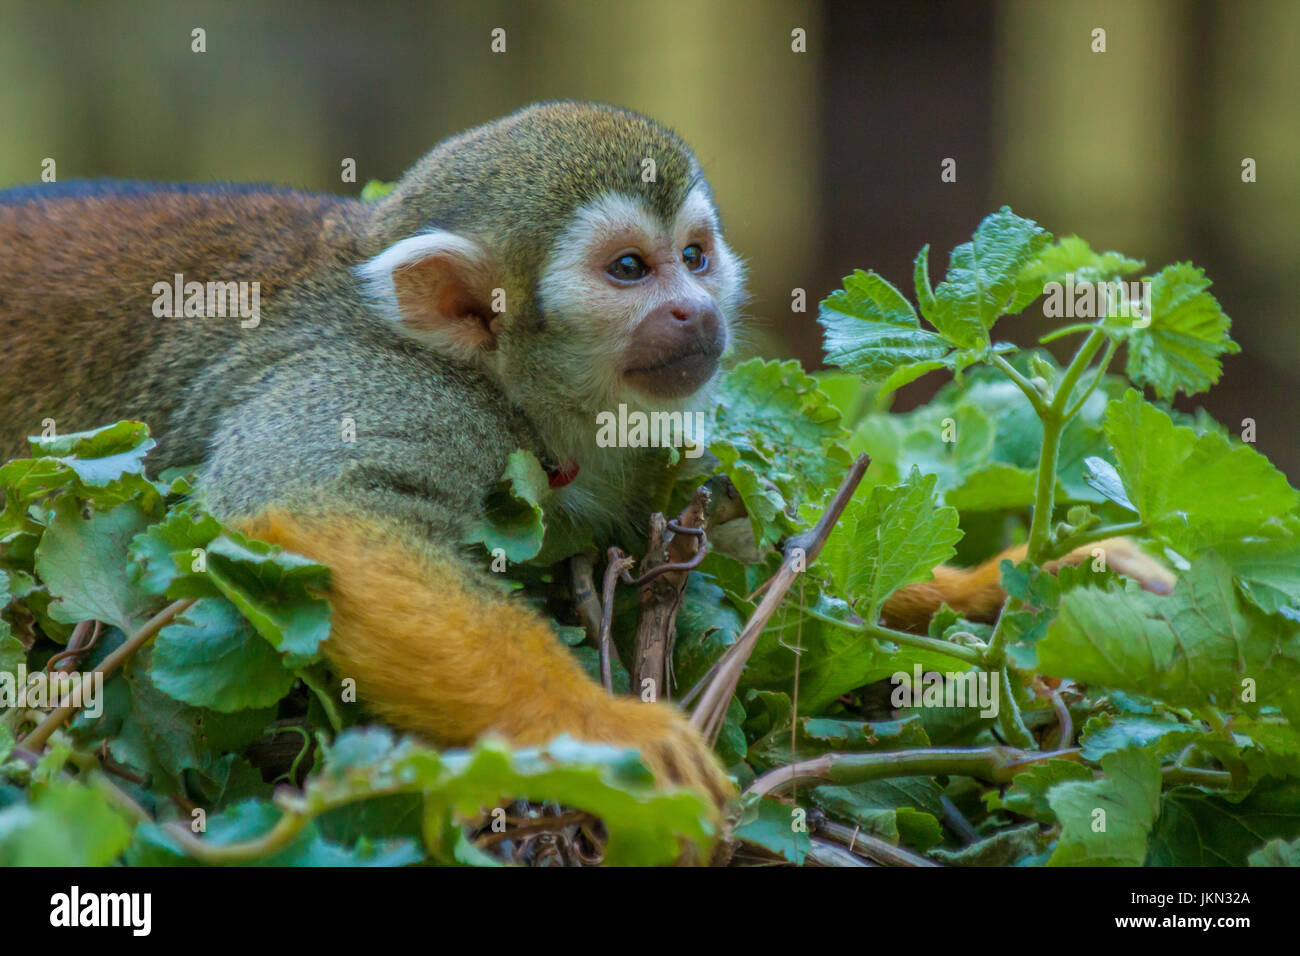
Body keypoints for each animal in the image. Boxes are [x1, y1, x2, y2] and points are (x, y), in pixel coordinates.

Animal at [0, 101, 1170, 813]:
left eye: (694, 255)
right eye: (629, 270)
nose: (697, 310)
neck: (525, 398)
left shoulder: (655, 449)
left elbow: (785, 588)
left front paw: (1013, 588)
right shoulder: (377, 384)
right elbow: (312, 514)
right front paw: (600, 725)